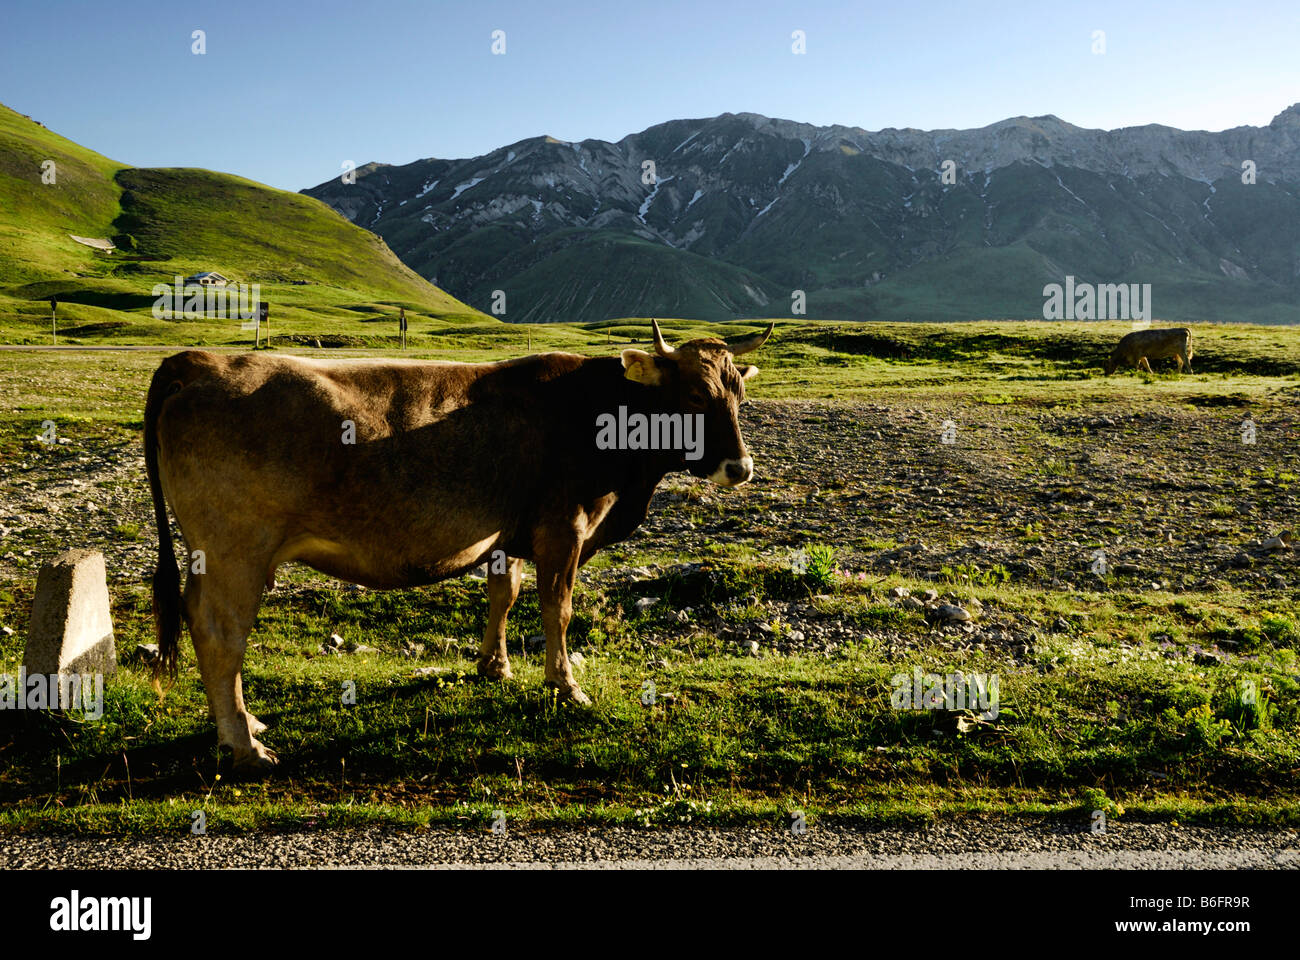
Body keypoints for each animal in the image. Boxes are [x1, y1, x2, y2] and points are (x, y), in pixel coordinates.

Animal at [144, 319, 772, 772]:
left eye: (739, 393)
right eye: (694, 397)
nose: (739, 468)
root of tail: (199, 361)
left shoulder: (507, 532)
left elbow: (504, 593)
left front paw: (495, 667)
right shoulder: (564, 528)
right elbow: (557, 609)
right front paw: (565, 686)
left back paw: (248, 725)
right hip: (235, 549)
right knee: (221, 631)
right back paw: (244, 744)